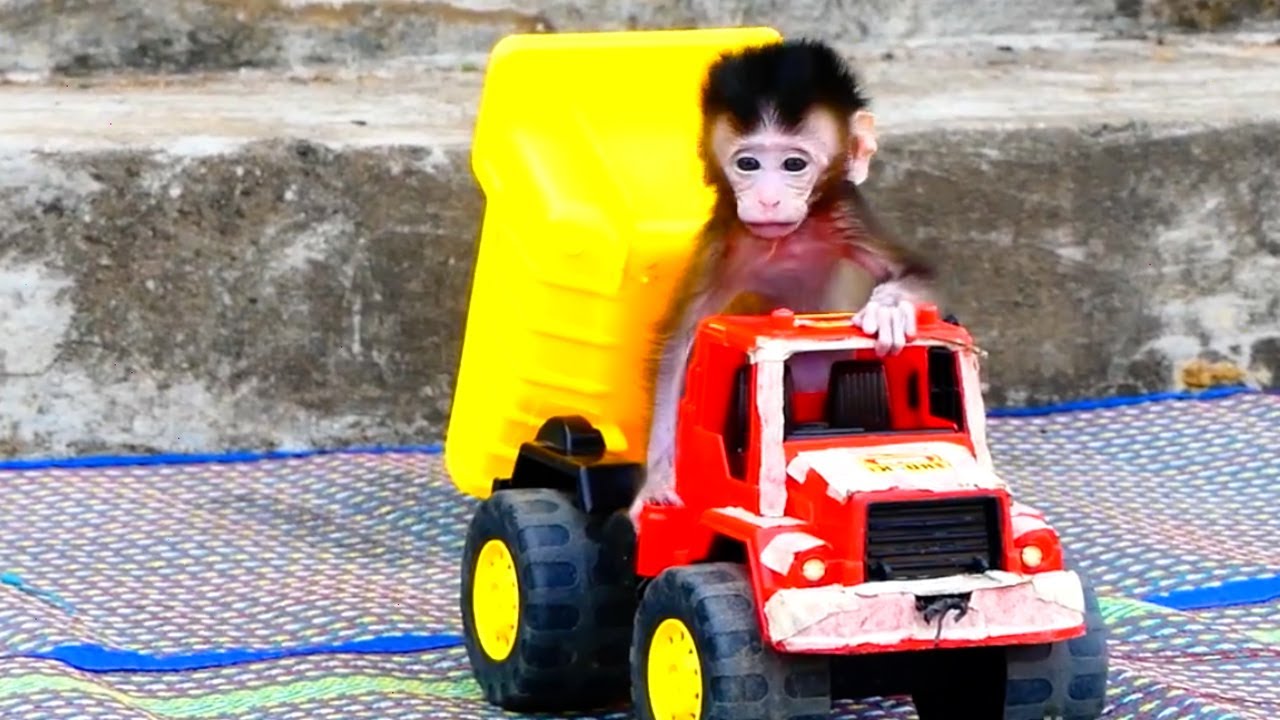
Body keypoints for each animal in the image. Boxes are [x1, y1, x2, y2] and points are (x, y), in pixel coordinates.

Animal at [628, 39, 939, 526]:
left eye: (794, 164)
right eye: (748, 164)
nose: (768, 199)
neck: (787, 238)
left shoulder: (844, 219)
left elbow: (918, 275)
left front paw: (889, 308)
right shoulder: (727, 242)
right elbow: (679, 343)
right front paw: (658, 481)